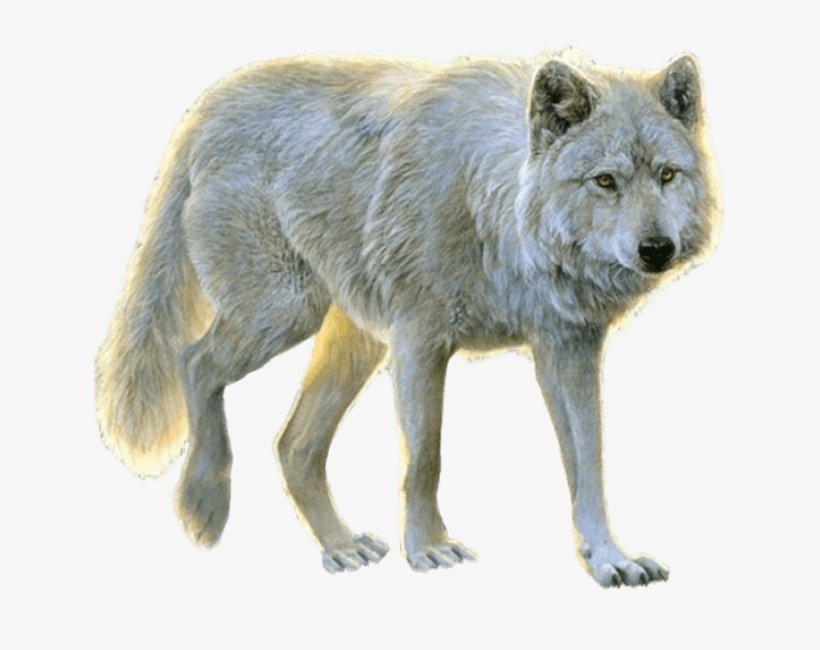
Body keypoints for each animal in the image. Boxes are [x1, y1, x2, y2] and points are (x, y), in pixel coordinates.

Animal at [95, 48, 721, 587]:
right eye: (605, 181)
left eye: (667, 175)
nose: (656, 249)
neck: (491, 207)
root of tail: (212, 103)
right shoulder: (420, 341)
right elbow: (426, 459)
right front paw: (427, 548)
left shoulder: (568, 349)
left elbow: (589, 463)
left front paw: (610, 559)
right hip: (283, 312)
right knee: (193, 361)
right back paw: (204, 504)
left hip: (353, 344)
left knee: (292, 445)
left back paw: (340, 546)